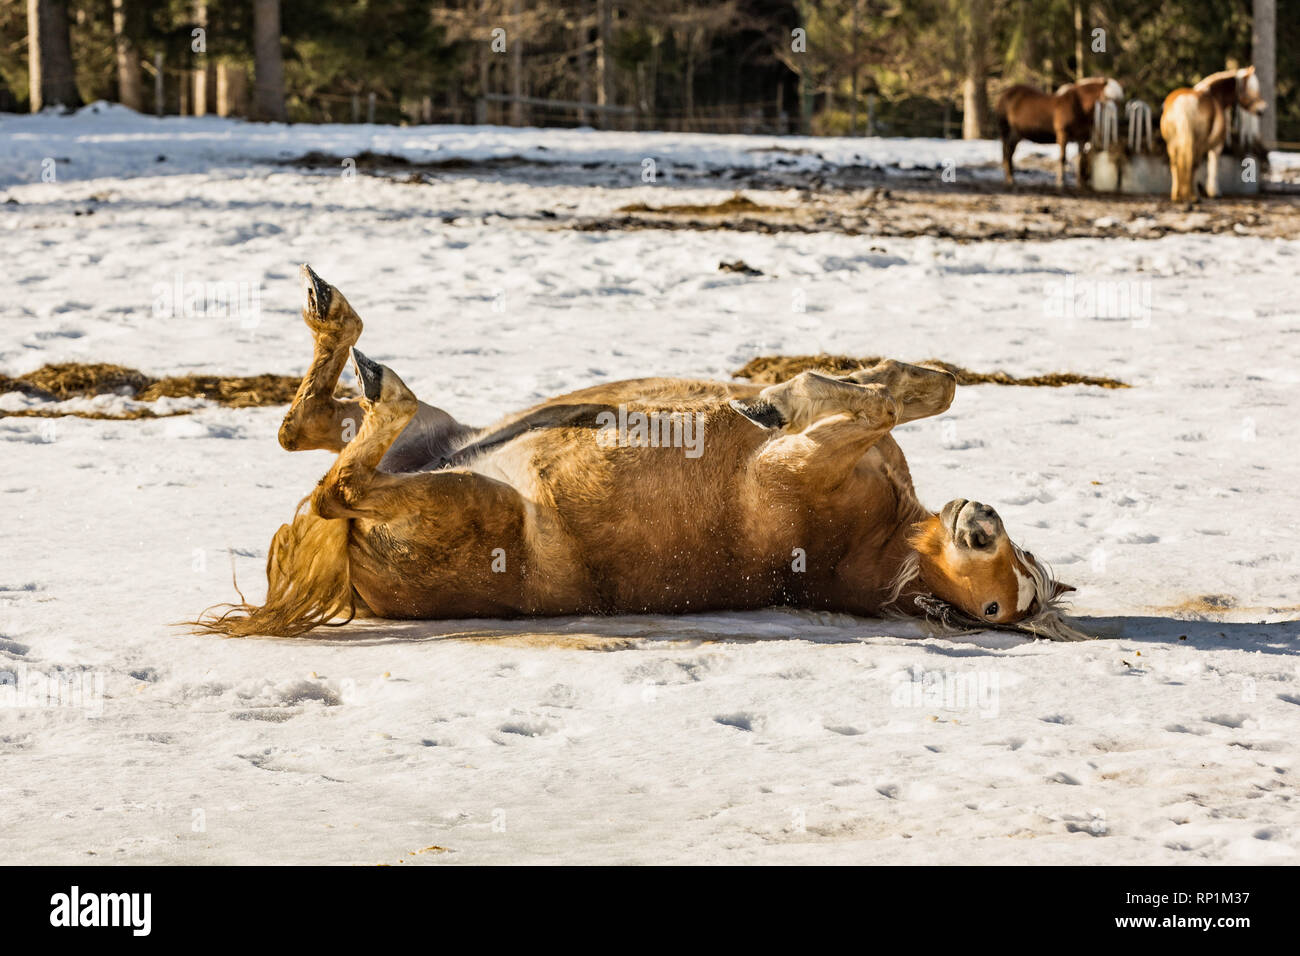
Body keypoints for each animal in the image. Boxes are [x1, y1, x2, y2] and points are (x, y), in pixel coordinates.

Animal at [193, 267, 1086, 642]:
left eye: (997, 609)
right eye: (1016, 564)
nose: (979, 522)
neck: (889, 539)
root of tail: (358, 581)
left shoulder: (796, 465)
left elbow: (857, 403)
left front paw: (786, 397)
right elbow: (908, 392)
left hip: (469, 500)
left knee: (336, 483)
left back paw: (365, 360)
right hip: (440, 440)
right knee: (309, 427)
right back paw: (342, 330)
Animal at [995, 76, 1124, 187]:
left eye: (1119, 100)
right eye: (1109, 98)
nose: (1119, 120)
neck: (1078, 106)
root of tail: (1004, 94)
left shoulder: (1081, 138)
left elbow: (1080, 159)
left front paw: (1079, 183)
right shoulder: (1063, 134)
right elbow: (1062, 158)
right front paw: (1061, 182)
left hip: (1016, 134)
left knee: (1010, 153)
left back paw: (1011, 178)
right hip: (1005, 131)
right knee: (1006, 153)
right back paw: (1009, 179)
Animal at [1160, 66, 1266, 202]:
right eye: (1254, 89)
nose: (1262, 109)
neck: (1215, 96)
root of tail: (1183, 102)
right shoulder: (1217, 146)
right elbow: (1213, 165)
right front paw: (1214, 192)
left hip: (1172, 143)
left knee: (1175, 164)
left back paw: (1177, 195)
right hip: (1196, 142)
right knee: (1193, 164)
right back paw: (1193, 195)